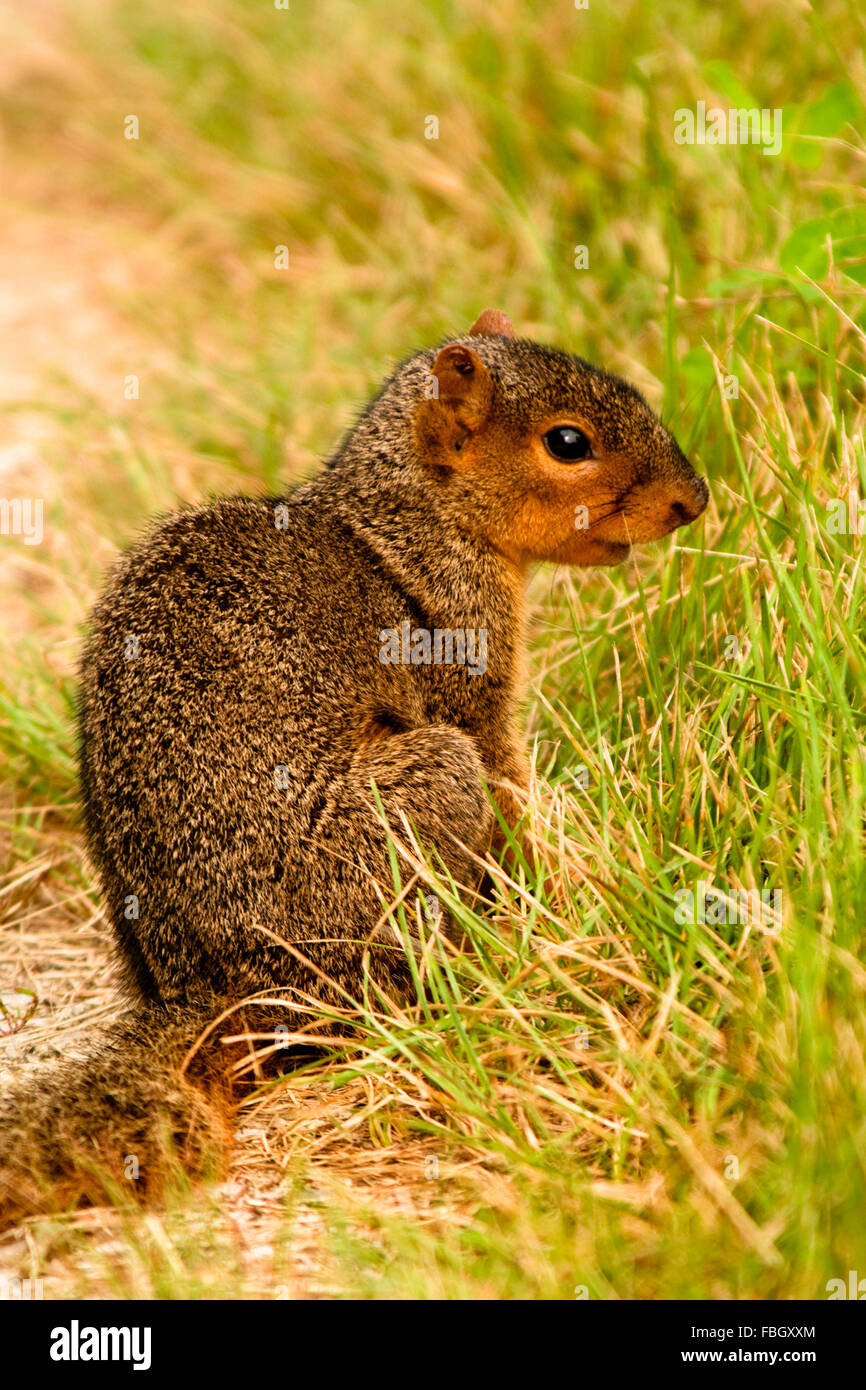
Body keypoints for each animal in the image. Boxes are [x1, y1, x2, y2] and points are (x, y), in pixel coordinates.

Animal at [0, 309, 707, 1225]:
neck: (404, 530)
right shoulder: (463, 689)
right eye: (567, 442)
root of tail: (222, 993)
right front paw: (542, 906)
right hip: (419, 796)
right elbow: (509, 790)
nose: (694, 500)